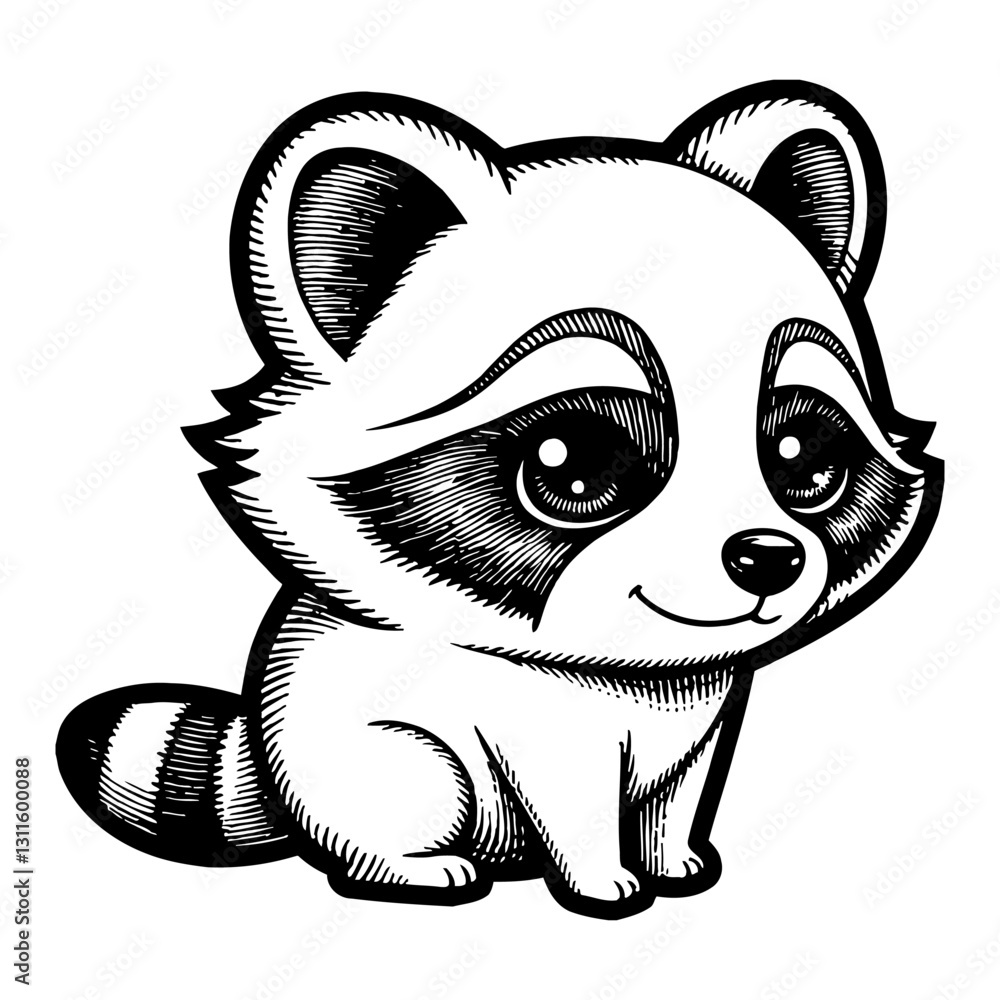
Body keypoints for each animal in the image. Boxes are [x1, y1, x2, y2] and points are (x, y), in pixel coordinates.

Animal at [58, 81, 941, 919]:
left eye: (801, 457)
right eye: (572, 469)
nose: (767, 558)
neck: (640, 674)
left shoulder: (703, 722)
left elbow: (675, 794)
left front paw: (671, 857)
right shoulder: (530, 724)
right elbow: (574, 801)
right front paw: (604, 879)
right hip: (370, 760)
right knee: (411, 787)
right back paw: (409, 868)